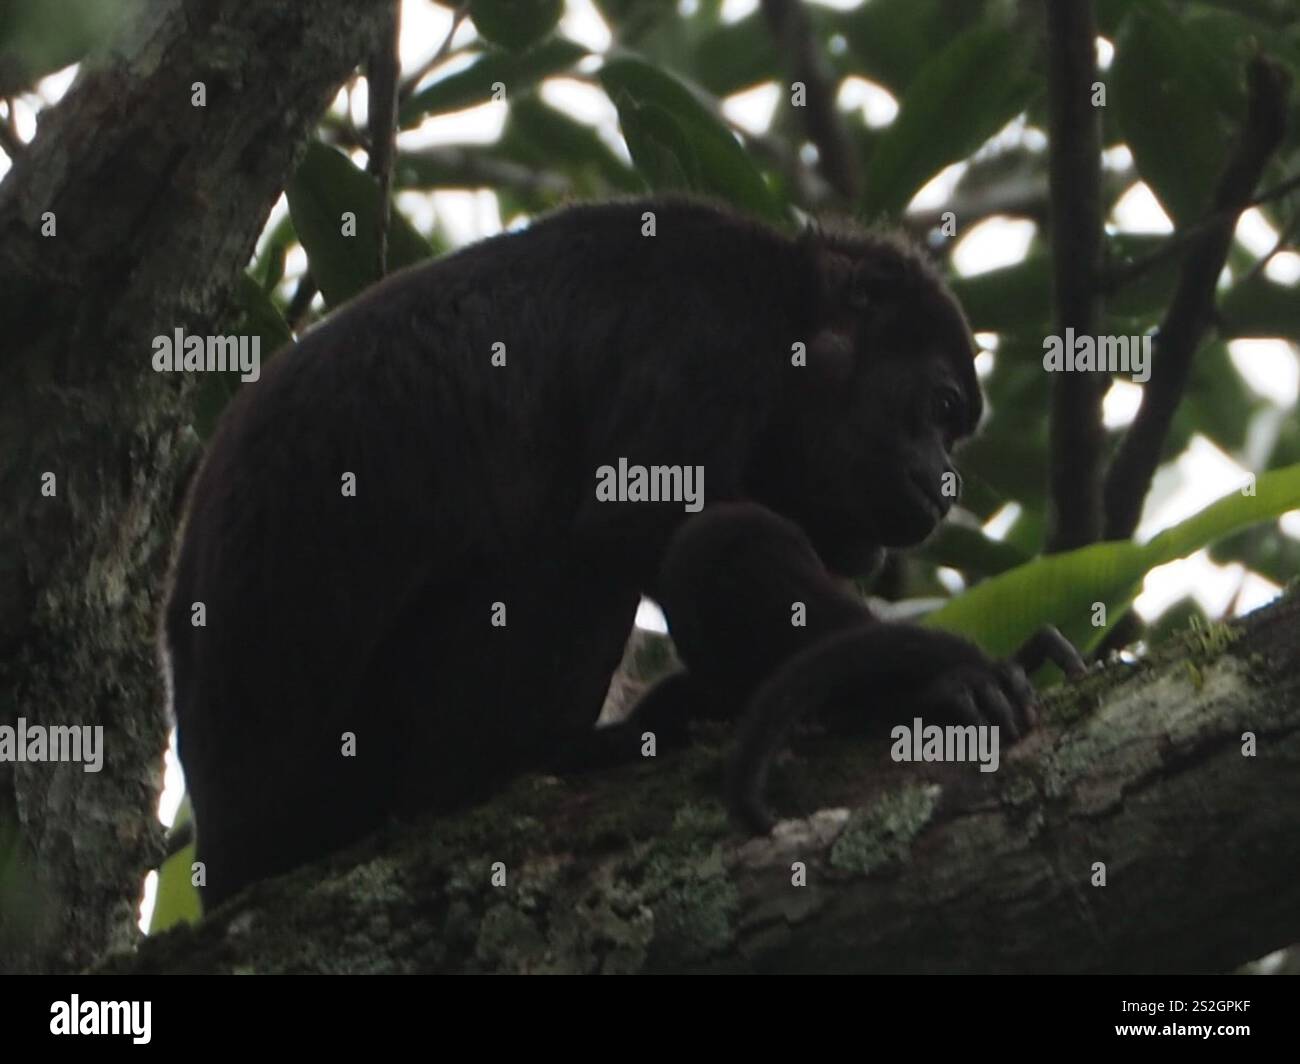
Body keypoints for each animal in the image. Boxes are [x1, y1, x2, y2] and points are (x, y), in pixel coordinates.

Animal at [167, 195, 1008, 906]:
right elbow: (640, 525)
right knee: (570, 558)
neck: (787, 325)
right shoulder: (708, 327)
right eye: (941, 407)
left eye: (955, 431)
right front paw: (931, 680)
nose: (945, 484)